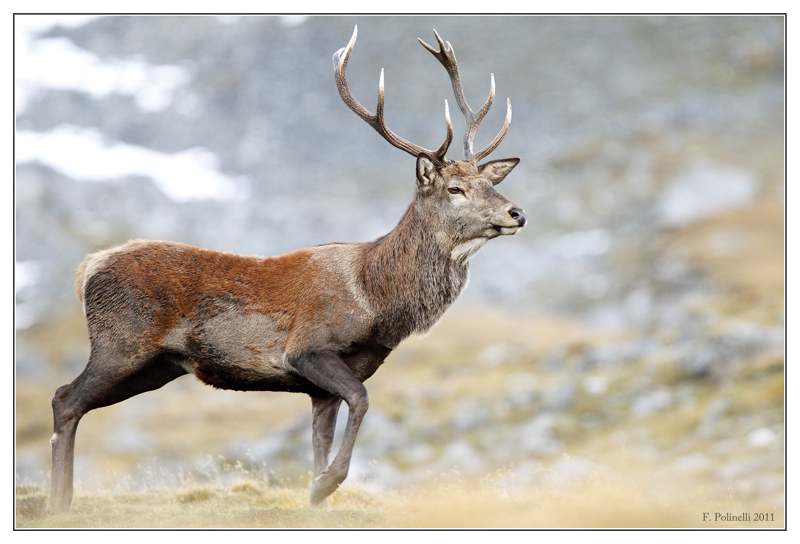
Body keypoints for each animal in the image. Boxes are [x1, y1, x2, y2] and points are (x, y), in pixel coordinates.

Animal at [46, 26, 526, 515]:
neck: (377, 300)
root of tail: (87, 269)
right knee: (65, 398)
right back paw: (58, 503)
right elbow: (361, 401)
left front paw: (319, 500)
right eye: (455, 188)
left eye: (489, 183)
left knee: (73, 402)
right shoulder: (308, 349)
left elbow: (320, 439)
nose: (517, 212)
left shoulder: (323, 389)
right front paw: (326, 484)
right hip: (121, 343)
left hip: (156, 366)